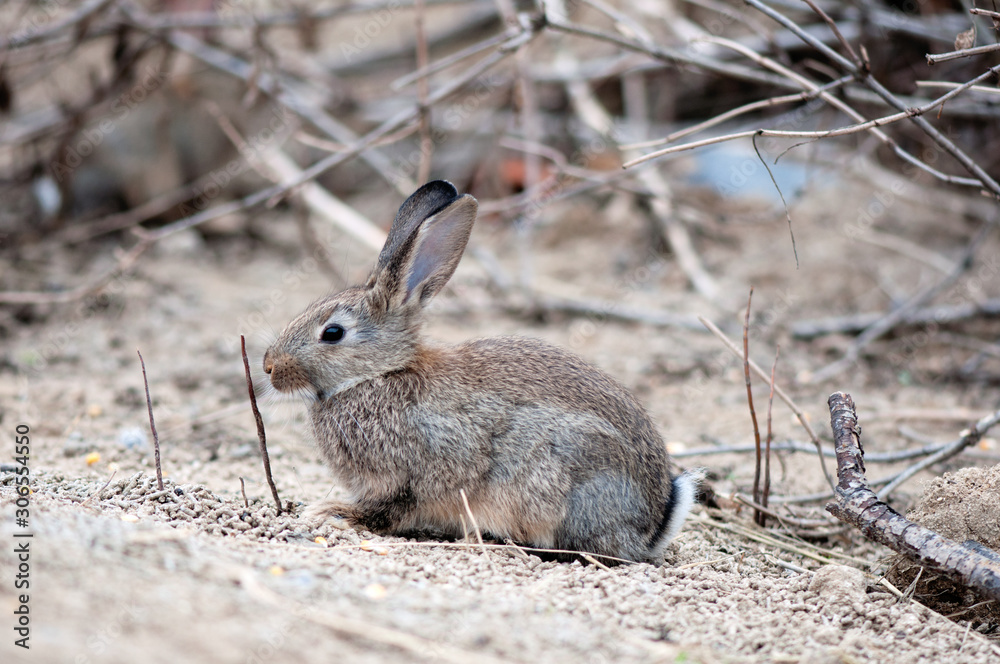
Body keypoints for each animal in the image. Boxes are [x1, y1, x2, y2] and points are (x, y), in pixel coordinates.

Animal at [263, 180, 700, 563]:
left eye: (333, 333)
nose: (269, 366)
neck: (381, 373)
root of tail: (652, 527)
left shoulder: (413, 474)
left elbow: (388, 511)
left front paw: (332, 513)